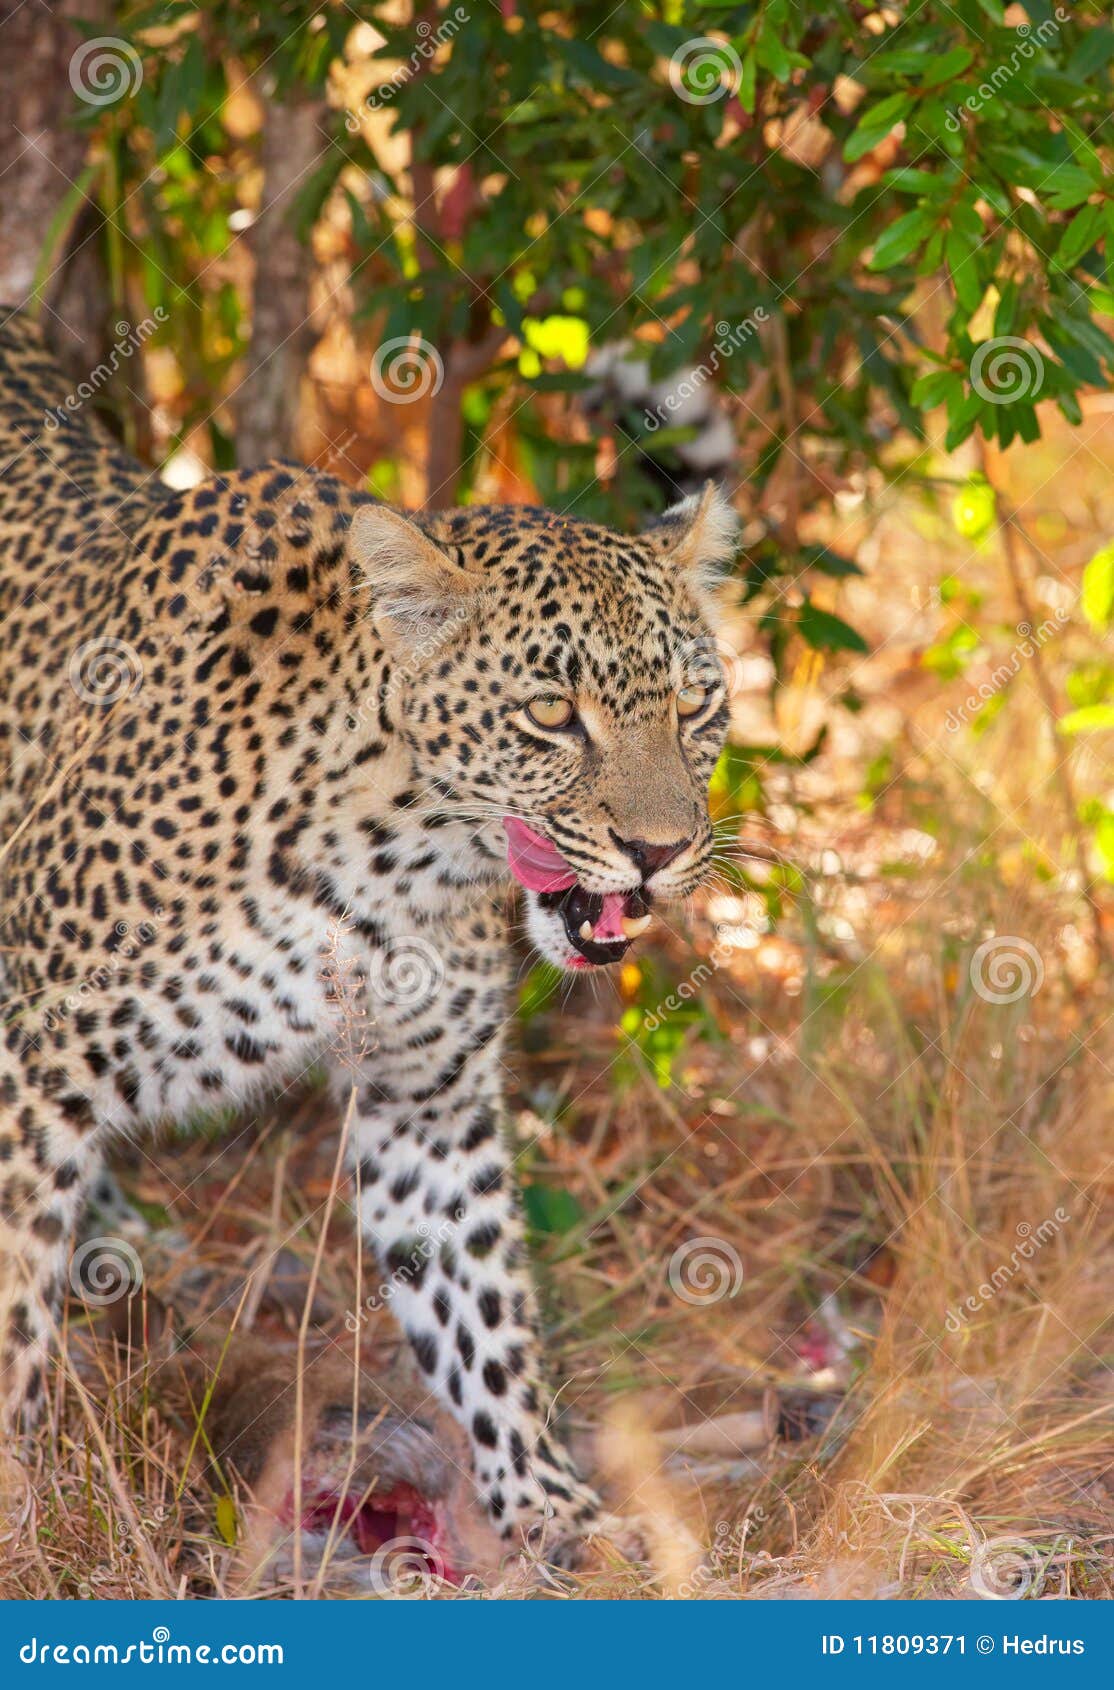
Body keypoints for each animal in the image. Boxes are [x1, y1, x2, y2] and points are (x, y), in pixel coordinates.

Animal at [0, 310, 736, 1566]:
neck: (390, 863)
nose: (661, 850)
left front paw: (555, 1510)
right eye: (553, 714)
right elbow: (9, 1309)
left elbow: (482, 1309)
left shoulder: (426, 1105)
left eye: (694, 707)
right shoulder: (26, 1051)